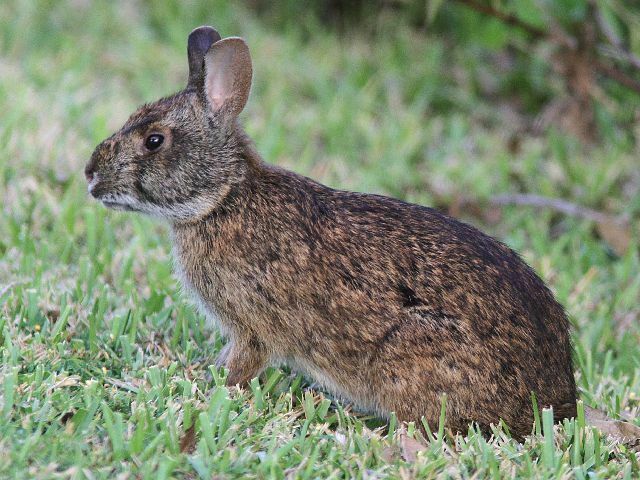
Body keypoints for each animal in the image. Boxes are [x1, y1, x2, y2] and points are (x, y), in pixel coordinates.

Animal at [85, 26, 576, 439]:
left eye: (154, 140)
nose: (90, 175)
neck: (224, 198)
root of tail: (555, 404)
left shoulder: (252, 326)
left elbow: (242, 364)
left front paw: (211, 388)